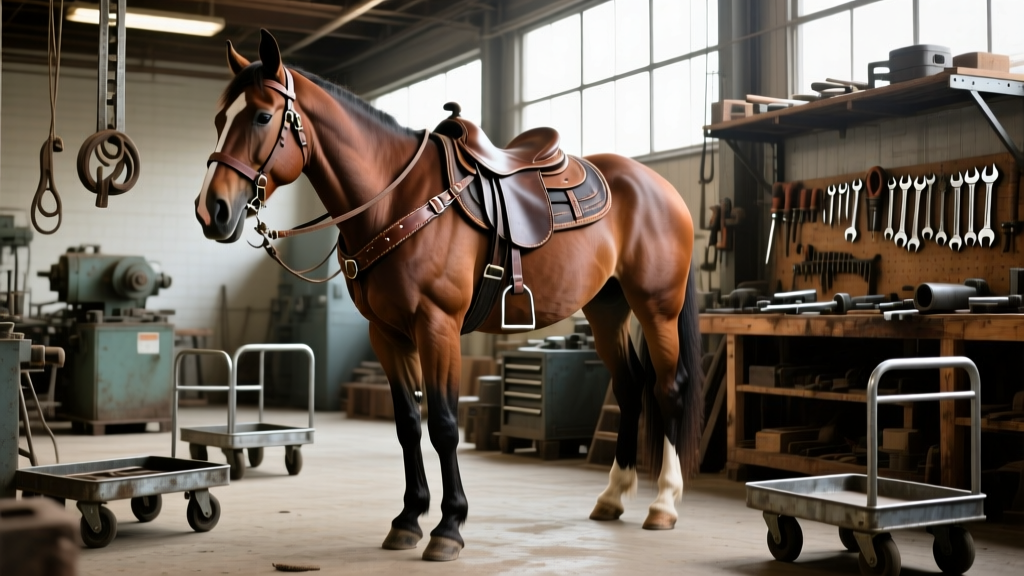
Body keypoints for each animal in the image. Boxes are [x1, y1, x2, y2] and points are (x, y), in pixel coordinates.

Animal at [195, 29, 703, 562]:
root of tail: (660, 186)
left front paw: (449, 527)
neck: (396, 200)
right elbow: (407, 425)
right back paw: (613, 496)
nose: (211, 210)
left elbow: (442, 424)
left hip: (657, 308)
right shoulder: (387, 334)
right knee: (629, 387)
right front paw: (407, 519)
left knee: (667, 388)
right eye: (220, 119)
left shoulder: (436, 326)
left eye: (262, 116)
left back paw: (663, 503)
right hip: (606, 308)